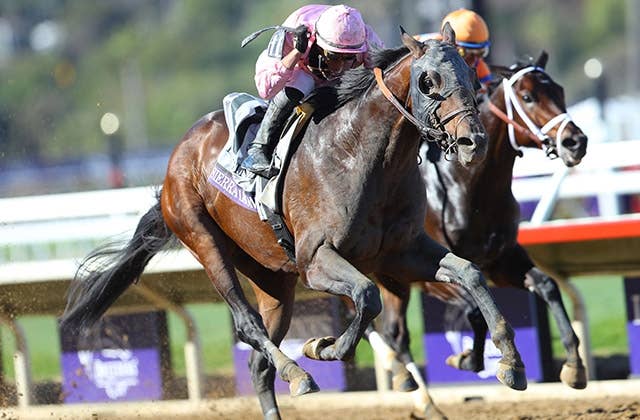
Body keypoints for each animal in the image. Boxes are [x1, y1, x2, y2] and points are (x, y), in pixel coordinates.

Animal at [62, 26, 527, 420]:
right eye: (428, 81)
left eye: (470, 74)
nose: (472, 141)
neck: (360, 156)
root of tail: (177, 158)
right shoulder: (317, 260)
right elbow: (367, 296)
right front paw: (323, 347)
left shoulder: (402, 252)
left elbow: (470, 273)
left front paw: (511, 364)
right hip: (204, 239)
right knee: (247, 324)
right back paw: (297, 371)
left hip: (272, 278)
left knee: (257, 362)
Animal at [367, 51, 589, 419]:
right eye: (527, 96)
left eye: (558, 90)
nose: (576, 141)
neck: (469, 185)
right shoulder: (428, 272)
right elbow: (473, 312)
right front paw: (467, 358)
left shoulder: (500, 260)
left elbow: (547, 286)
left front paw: (574, 367)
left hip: (392, 281)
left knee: (395, 332)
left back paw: (418, 394)